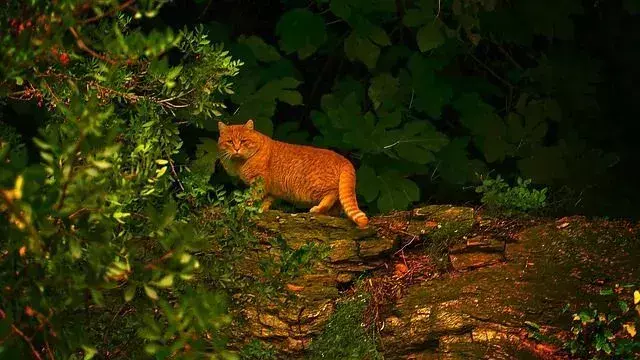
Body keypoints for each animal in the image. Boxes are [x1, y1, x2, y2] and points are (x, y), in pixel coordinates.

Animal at [219, 120, 370, 228]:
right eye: (230, 142)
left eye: (243, 141)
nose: (236, 149)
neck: (241, 162)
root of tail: (343, 159)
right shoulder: (271, 190)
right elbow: (266, 201)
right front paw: (262, 208)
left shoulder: (259, 181)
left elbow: (252, 197)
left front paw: (245, 207)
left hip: (316, 187)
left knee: (333, 194)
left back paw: (318, 208)